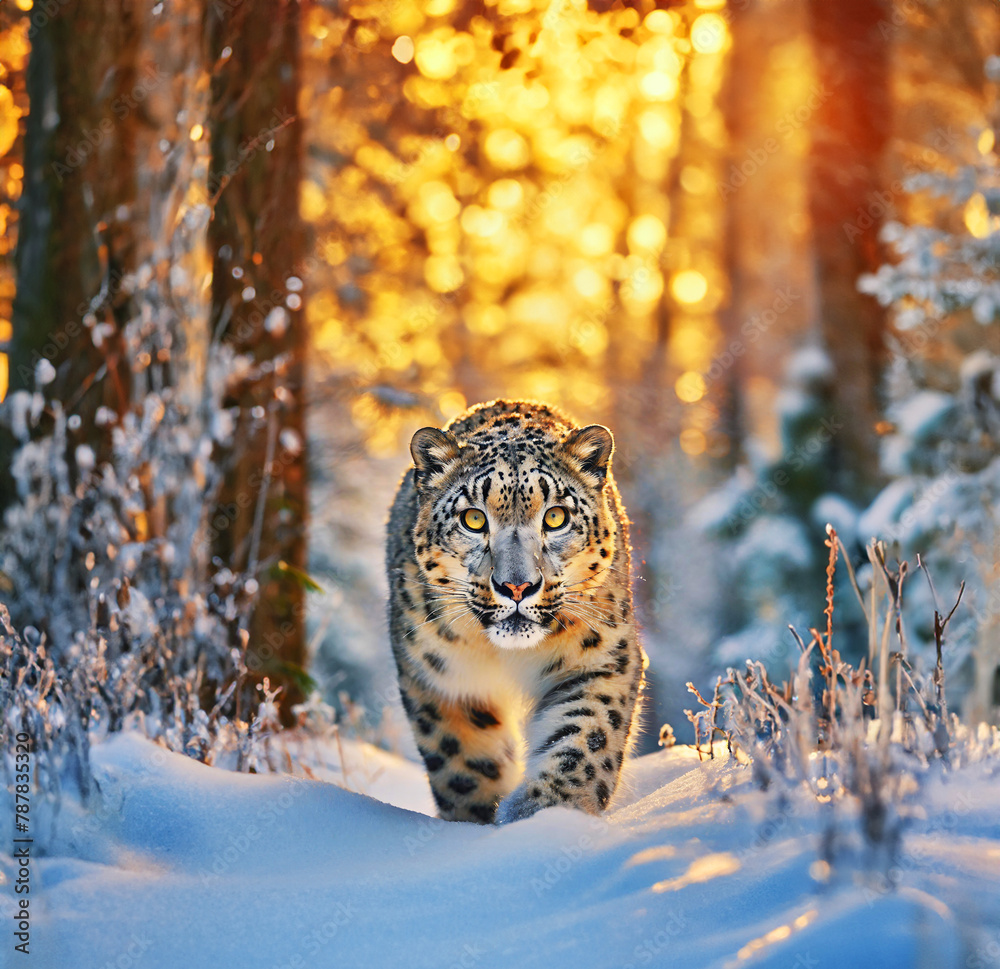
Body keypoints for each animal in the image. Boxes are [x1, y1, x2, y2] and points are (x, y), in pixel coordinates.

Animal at [386, 398, 645, 824]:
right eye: (473, 518)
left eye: (555, 516)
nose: (517, 586)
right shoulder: (444, 680)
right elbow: (466, 763)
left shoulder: (600, 658)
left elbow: (586, 735)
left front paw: (547, 811)